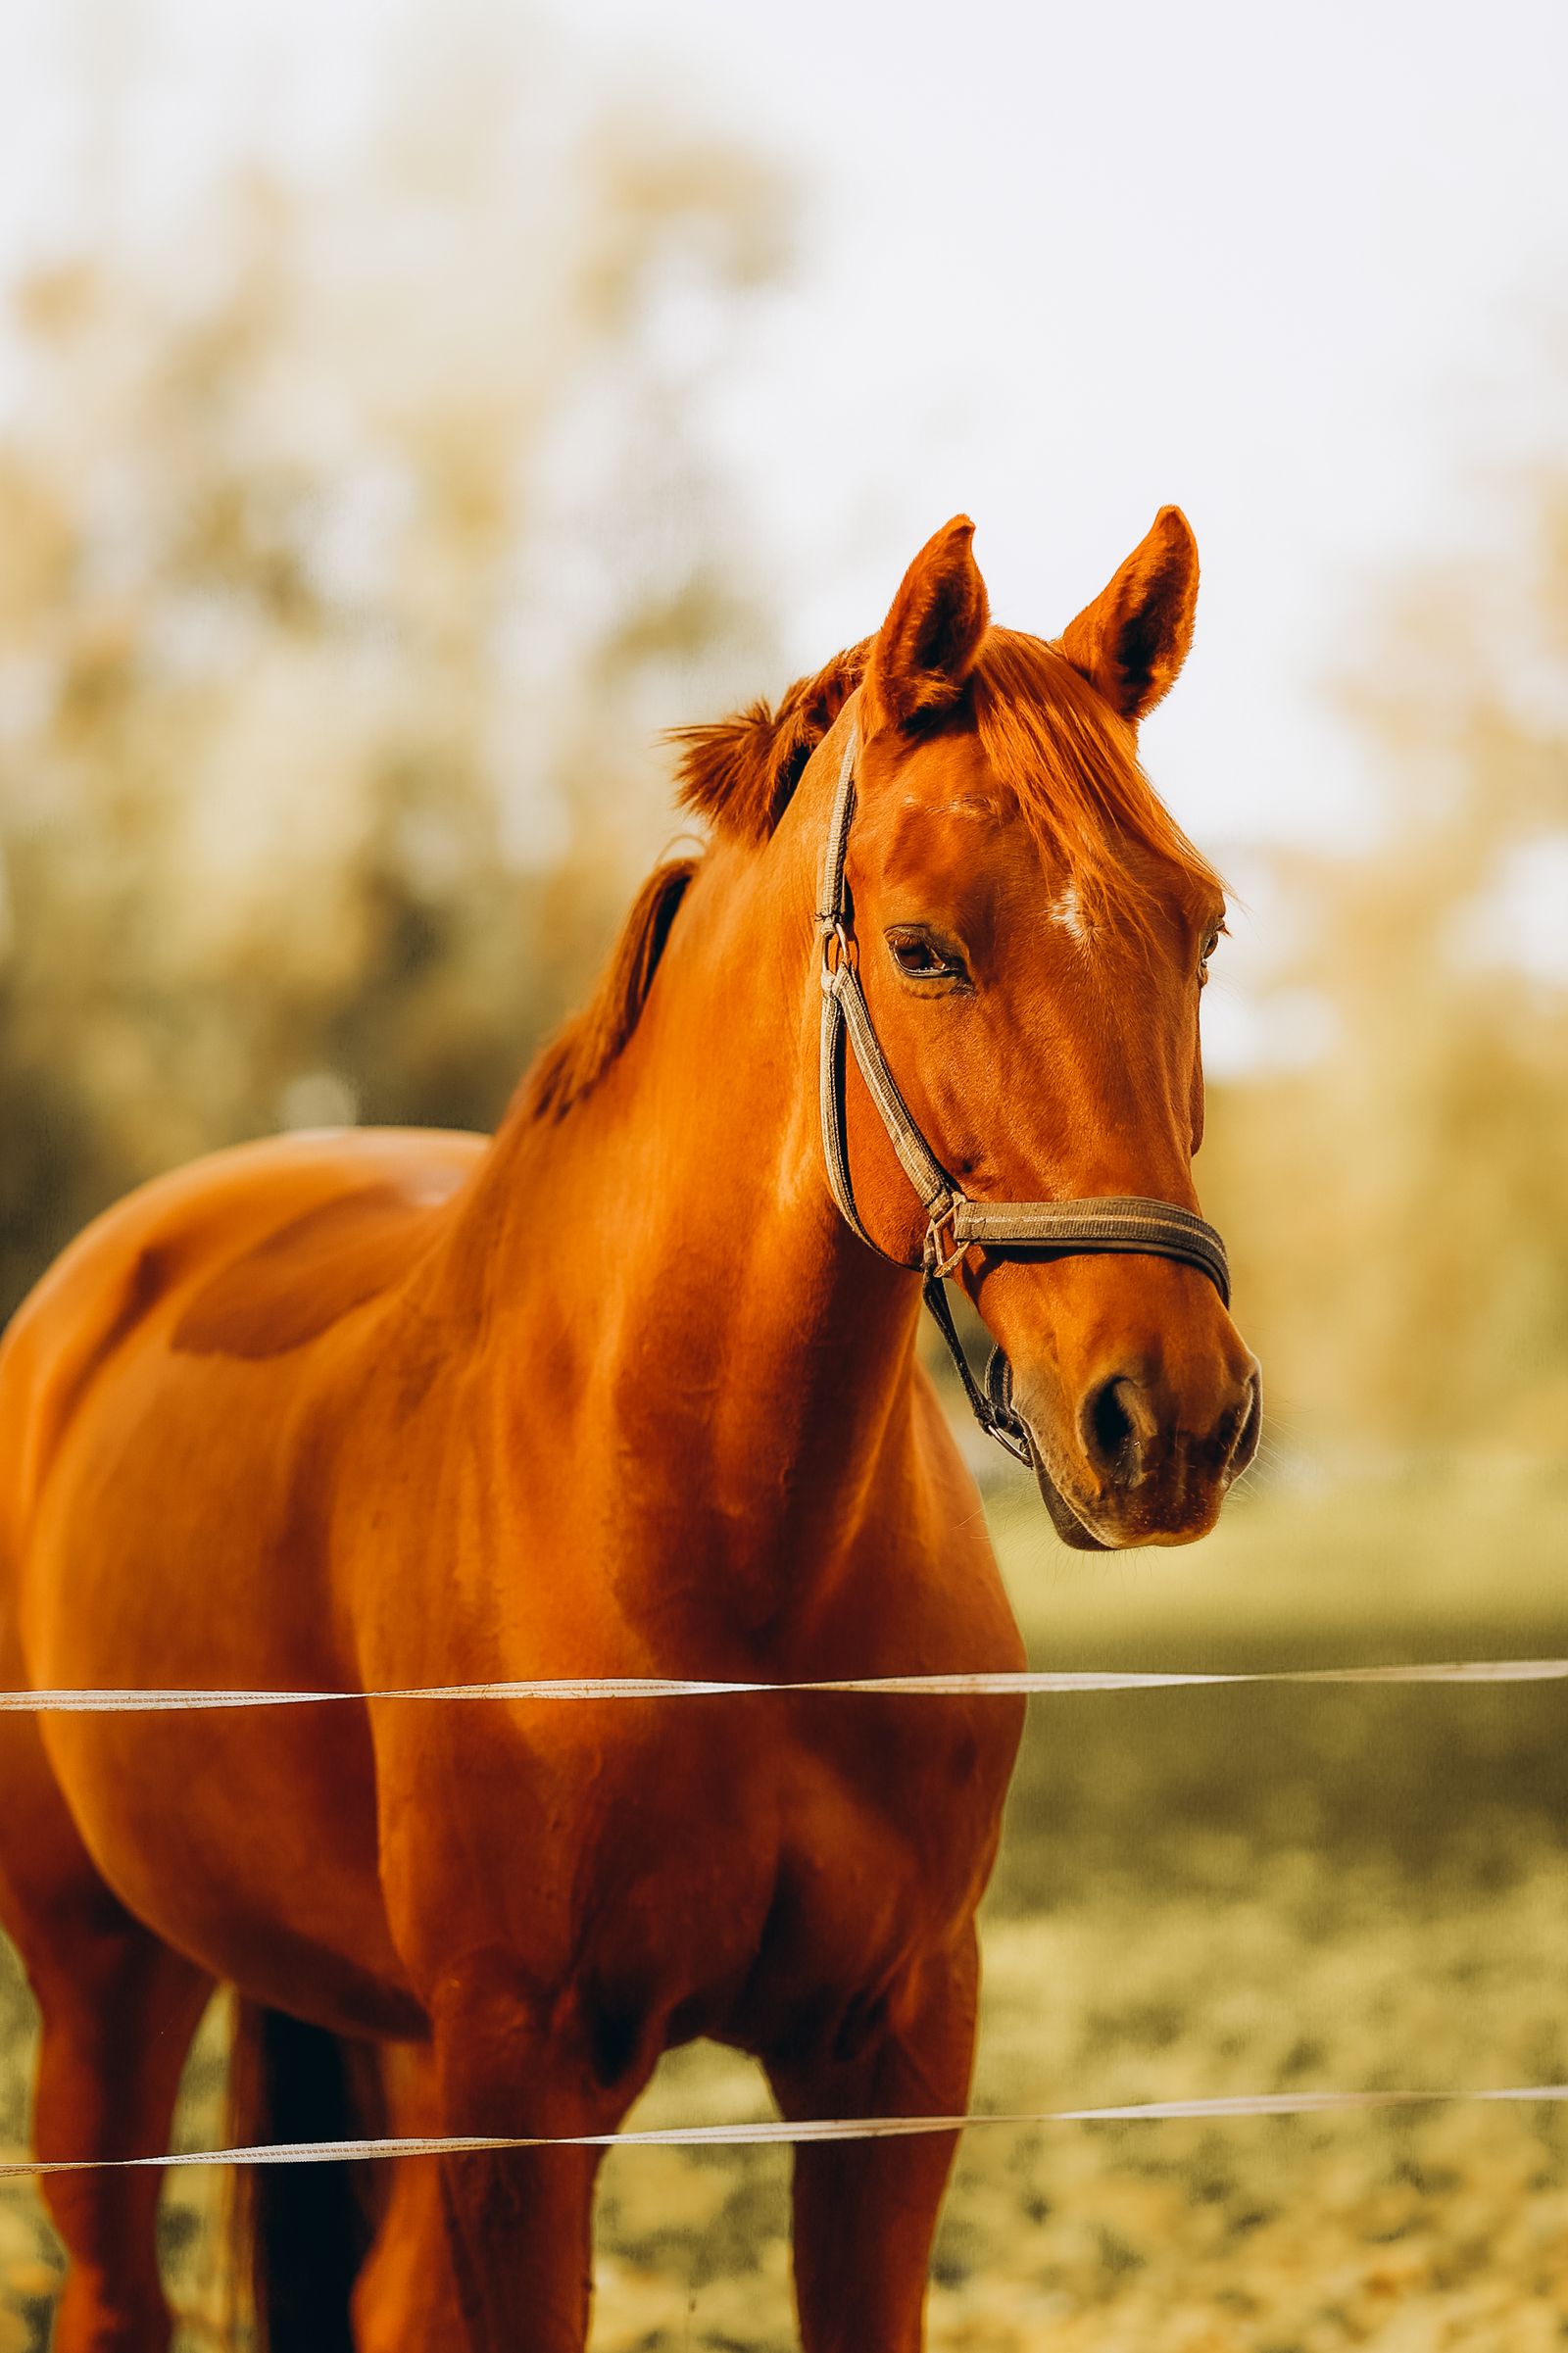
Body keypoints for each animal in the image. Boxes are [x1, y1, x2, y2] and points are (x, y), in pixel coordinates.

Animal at [0, 507, 1259, 2351]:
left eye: (1201, 930)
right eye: (924, 946)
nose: (1166, 1418)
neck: (722, 1557)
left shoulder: (890, 2059)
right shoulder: (526, 2087)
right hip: (107, 1967)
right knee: (113, 2285)